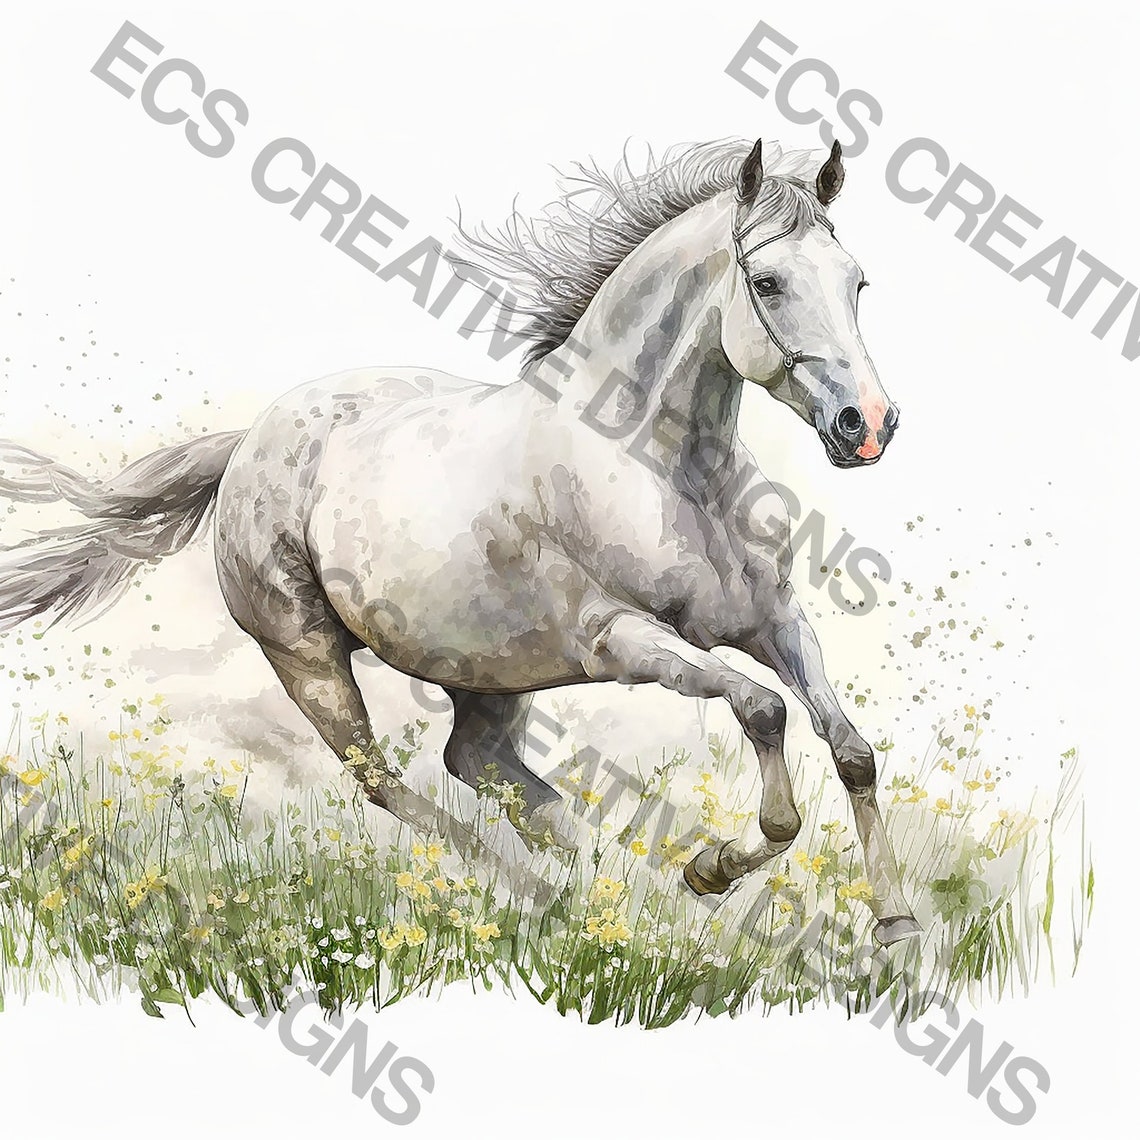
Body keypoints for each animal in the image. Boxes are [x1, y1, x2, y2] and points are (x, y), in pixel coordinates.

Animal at [0, 136, 919, 945]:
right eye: (768, 281)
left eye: (859, 283)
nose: (868, 426)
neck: (665, 466)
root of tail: (249, 442)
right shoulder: (622, 640)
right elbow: (763, 710)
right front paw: (710, 868)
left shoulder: (775, 621)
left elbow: (852, 750)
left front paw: (897, 925)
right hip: (306, 655)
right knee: (388, 782)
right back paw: (541, 892)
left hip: (487, 673)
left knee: (481, 766)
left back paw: (585, 884)